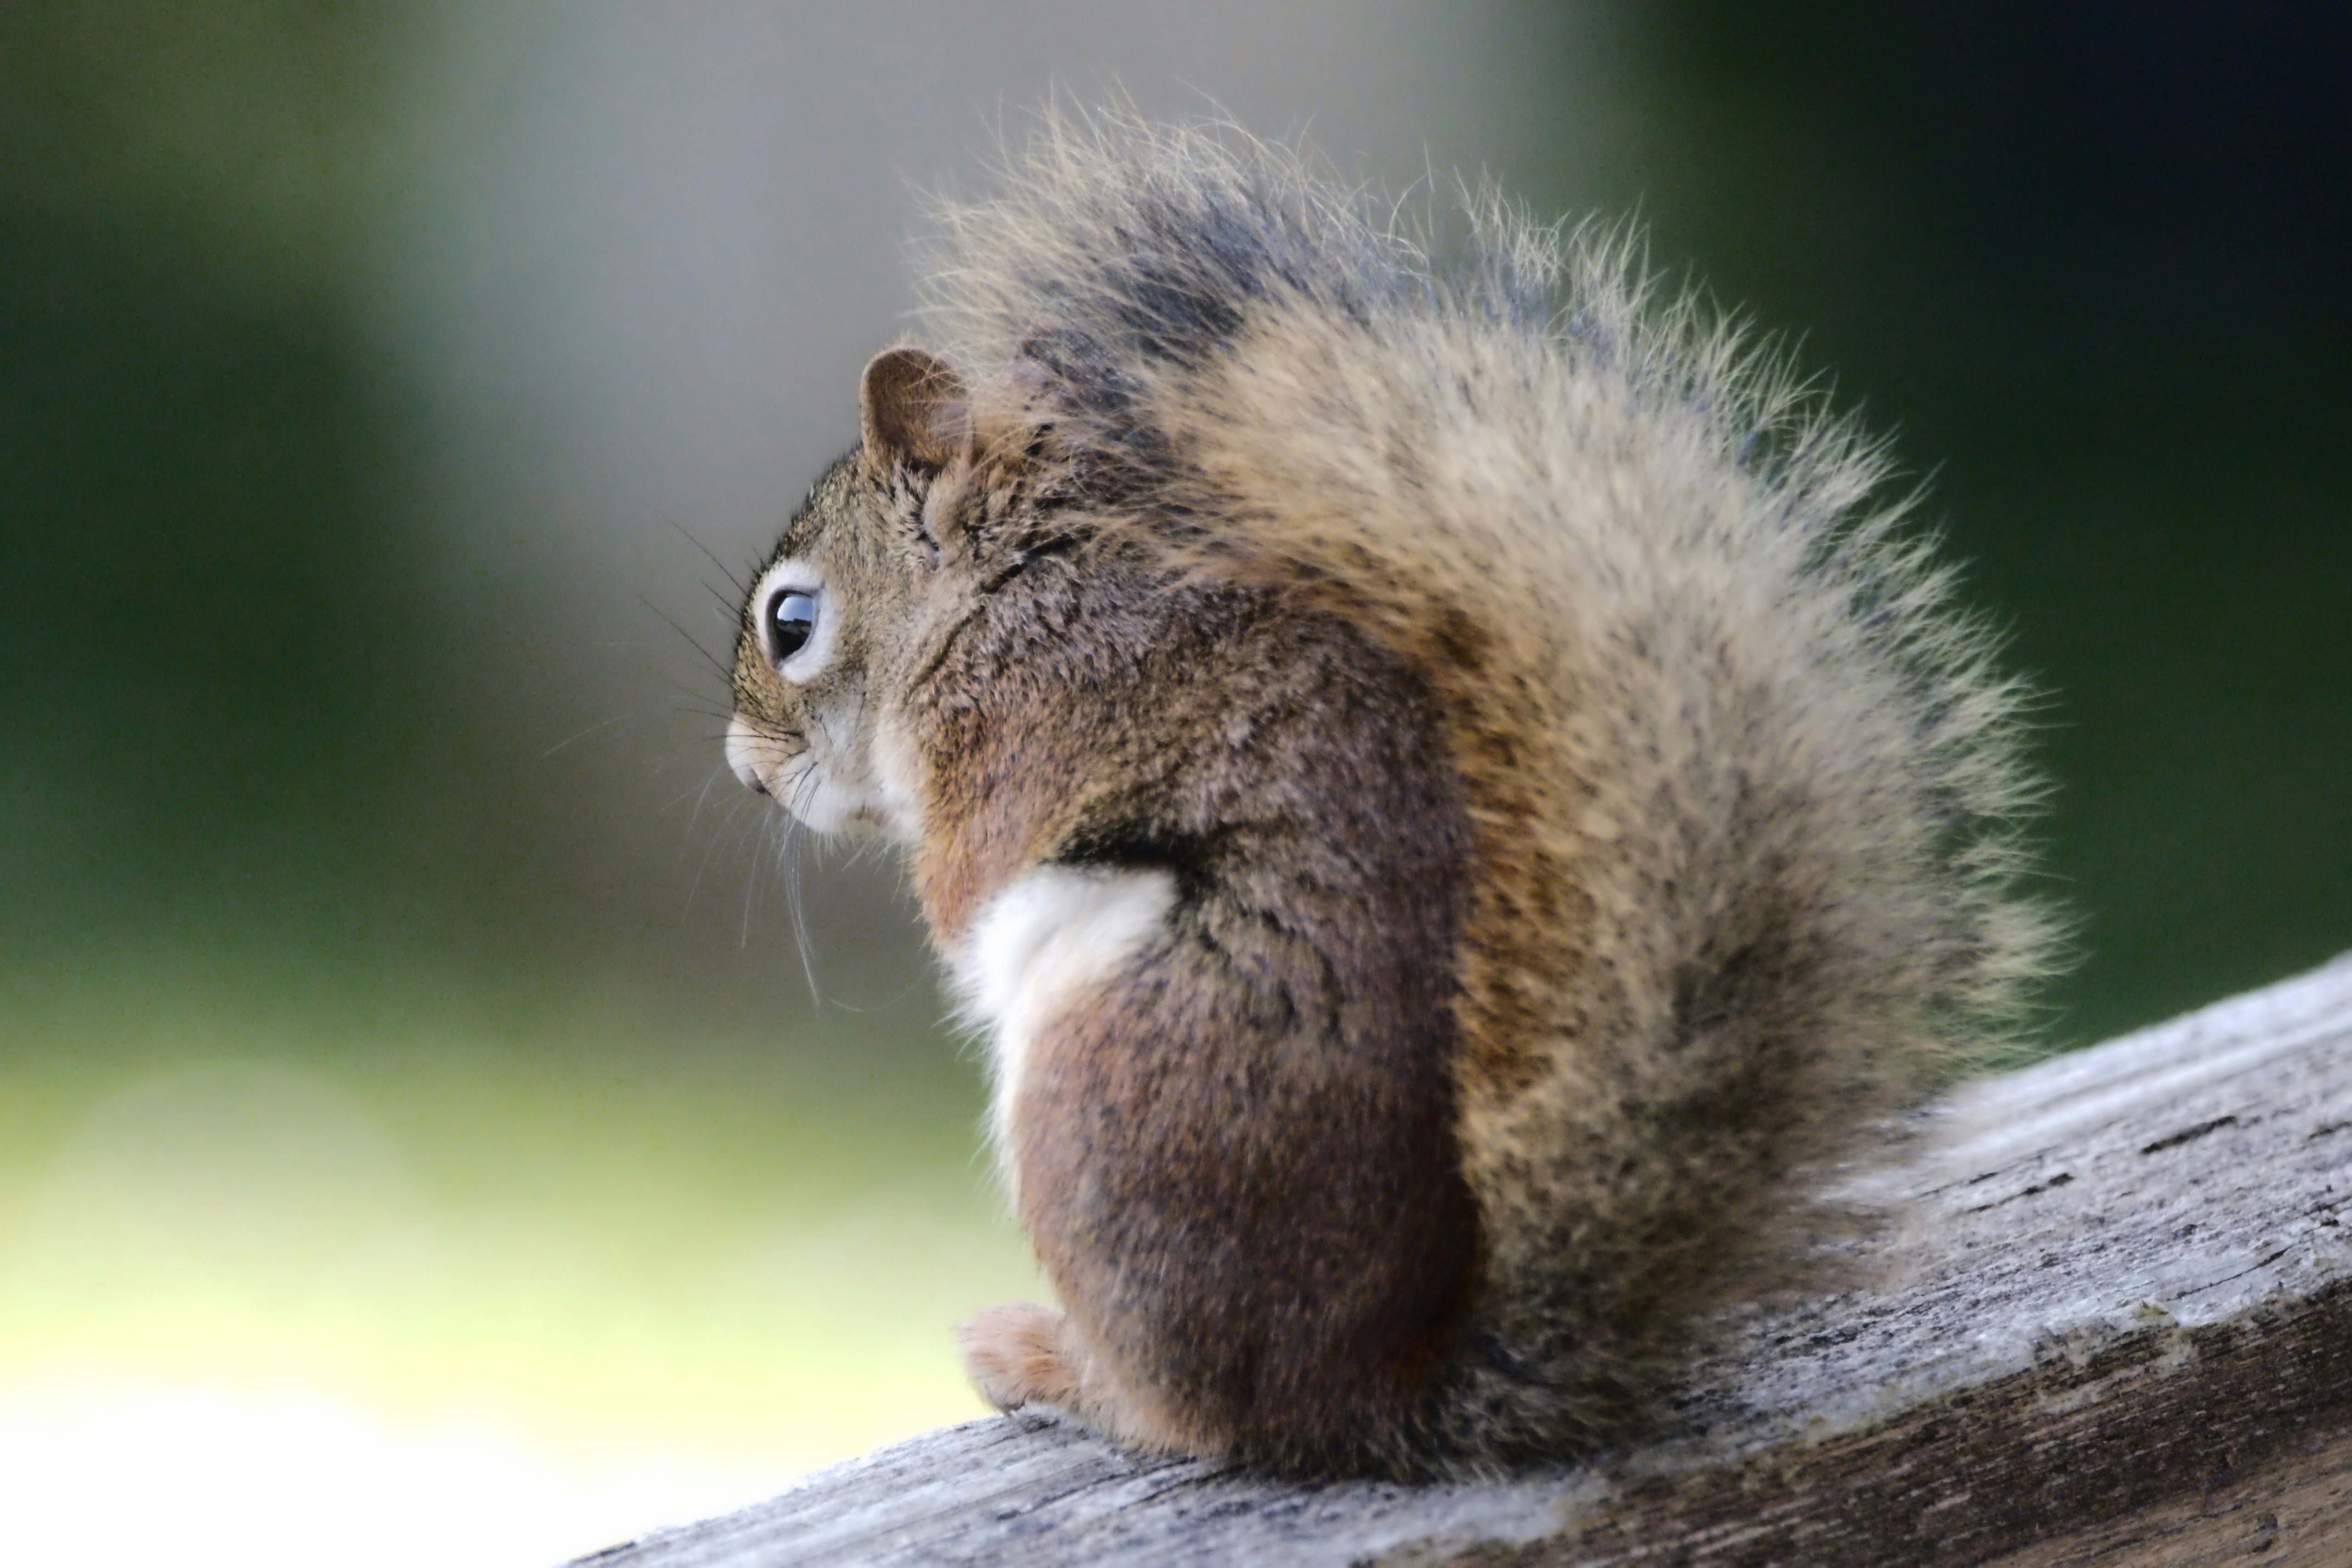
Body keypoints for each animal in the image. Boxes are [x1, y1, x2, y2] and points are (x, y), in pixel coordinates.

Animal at [722, 110, 2053, 1479]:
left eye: (791, 622)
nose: (745, 768)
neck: (1002, 587)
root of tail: (1377, 1387)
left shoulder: (1017, 726)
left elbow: (965, 887)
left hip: (1104, 1092)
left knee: (1197, 1413)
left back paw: (1053, 1362)